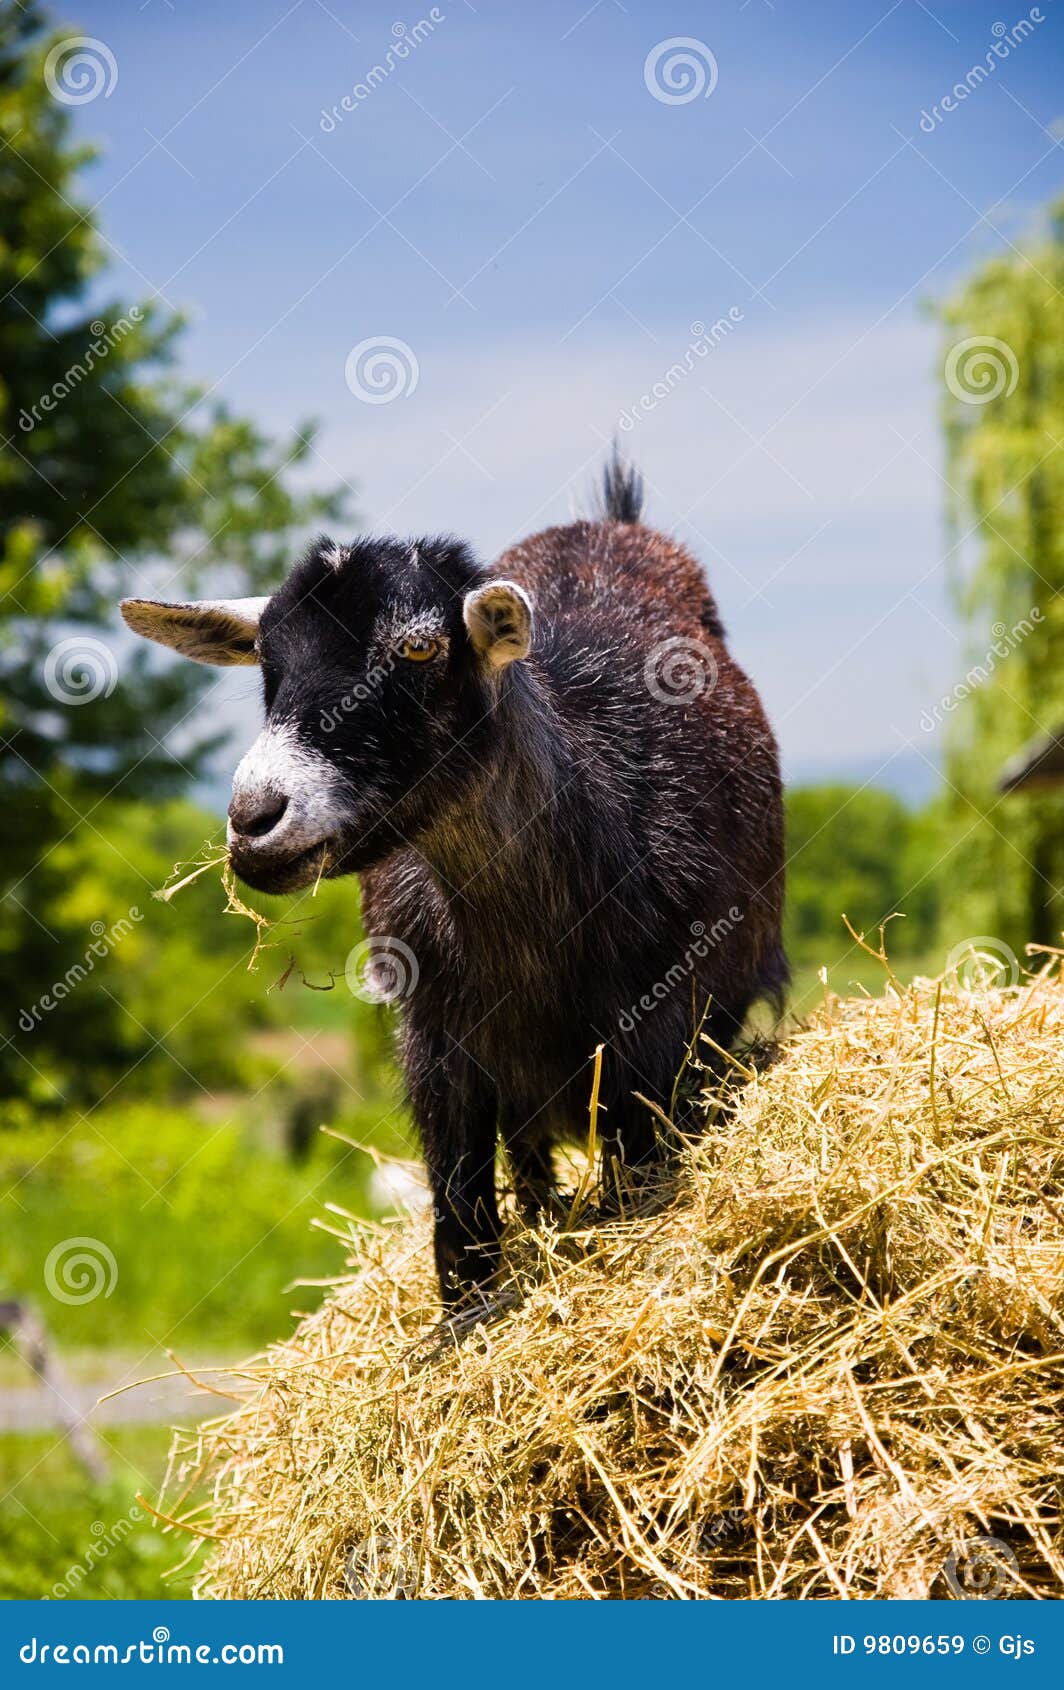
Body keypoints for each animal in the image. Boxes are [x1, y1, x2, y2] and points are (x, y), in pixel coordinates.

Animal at [121, 460, 787, 1303]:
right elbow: (461, 1227)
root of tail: (613, 522)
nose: (256, 818)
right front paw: (471, 1316)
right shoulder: (436, 1042)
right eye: (268, 663)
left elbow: (640, 1186)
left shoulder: (661, 1037)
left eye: (417, 650)